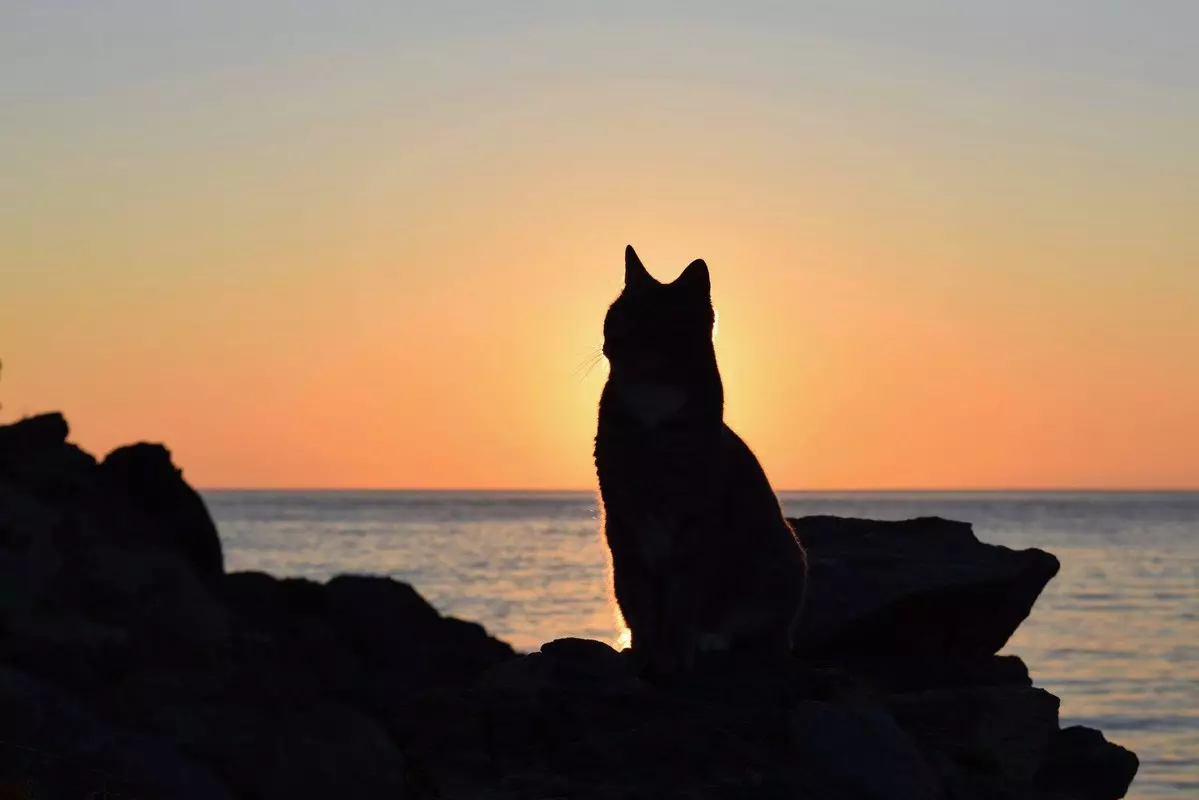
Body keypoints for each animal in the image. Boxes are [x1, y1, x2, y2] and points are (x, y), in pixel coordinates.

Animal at [594, 247, 810, 681]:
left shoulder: (696, 515)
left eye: (649, 320)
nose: (612, 340)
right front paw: (642, 656)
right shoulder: (622, 515)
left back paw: (711, 640)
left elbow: (682, 598)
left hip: (779, 560)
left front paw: (676, 657)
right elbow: (637, 597)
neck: (652, 405)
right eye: (615, 315)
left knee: (764, 634)